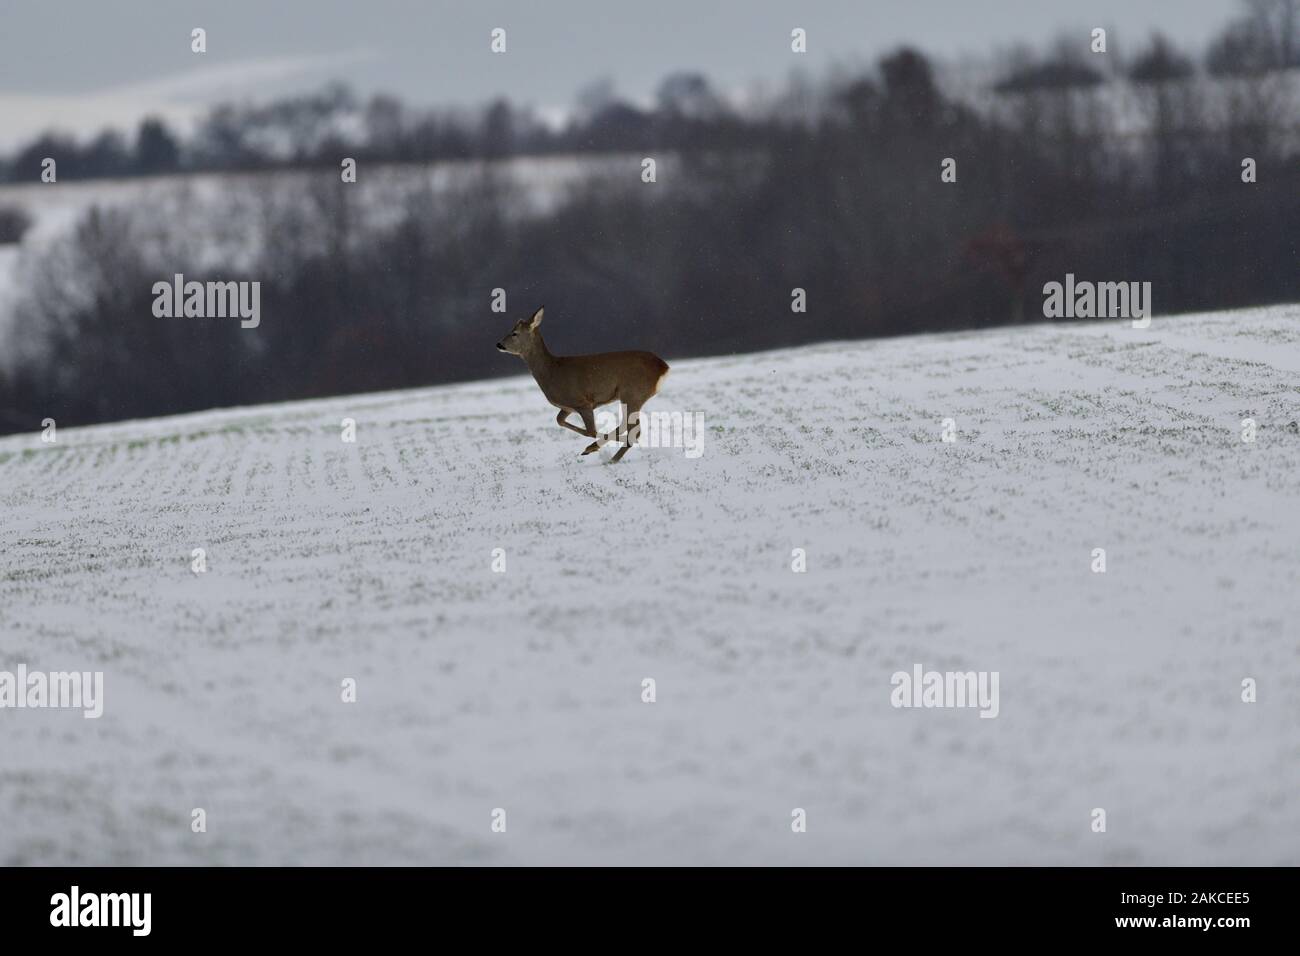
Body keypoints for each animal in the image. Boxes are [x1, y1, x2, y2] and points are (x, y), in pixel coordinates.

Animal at [496, 307, 669, 463]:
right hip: (633, 396)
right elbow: (560, 421)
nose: (499, 344)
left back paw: (605, 456)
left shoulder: (582, 402)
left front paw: (593, 447)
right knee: (632, 428)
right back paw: (611, 456)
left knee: (632, 429)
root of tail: (663, 367)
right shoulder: (568, 407)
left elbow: (591, 431)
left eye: (514, 333)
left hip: (632, 393)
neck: (551, 372)